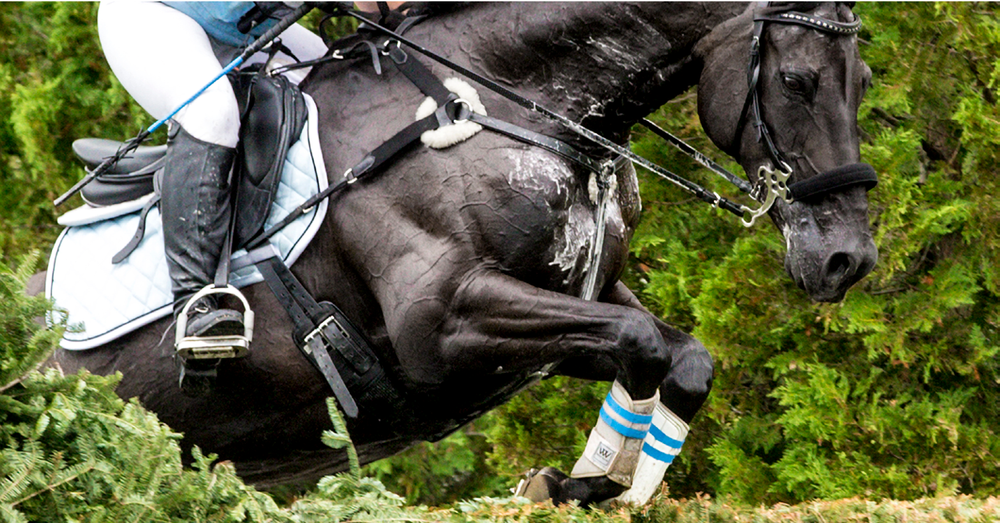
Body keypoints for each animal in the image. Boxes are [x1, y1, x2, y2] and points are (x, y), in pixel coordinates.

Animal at [44, 2, 878, 507]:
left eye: (863, 79)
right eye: (798, 80)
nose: (849, 259)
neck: (507, 102)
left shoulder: (575, 295)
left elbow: (679, 356)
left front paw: (587, 483)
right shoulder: (440, 325)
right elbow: (642, 342)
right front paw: (586, 481)